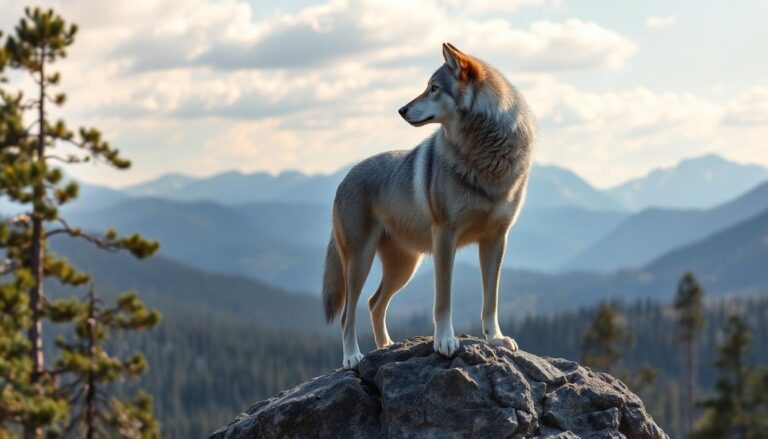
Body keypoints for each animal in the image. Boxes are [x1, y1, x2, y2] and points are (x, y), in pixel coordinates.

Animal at [323, 43, 536, 369]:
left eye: (434, 88)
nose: (401, 110)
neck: (484, 155)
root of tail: (344, 178)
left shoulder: (496, 239)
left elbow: (491, 300)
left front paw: (496, 339)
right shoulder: (444, 236)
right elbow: (443, 300)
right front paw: (445, 342)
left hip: (403, 267)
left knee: (374, 303)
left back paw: (386, 346)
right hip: (361, 261)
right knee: (349, 313)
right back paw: (352, 358)